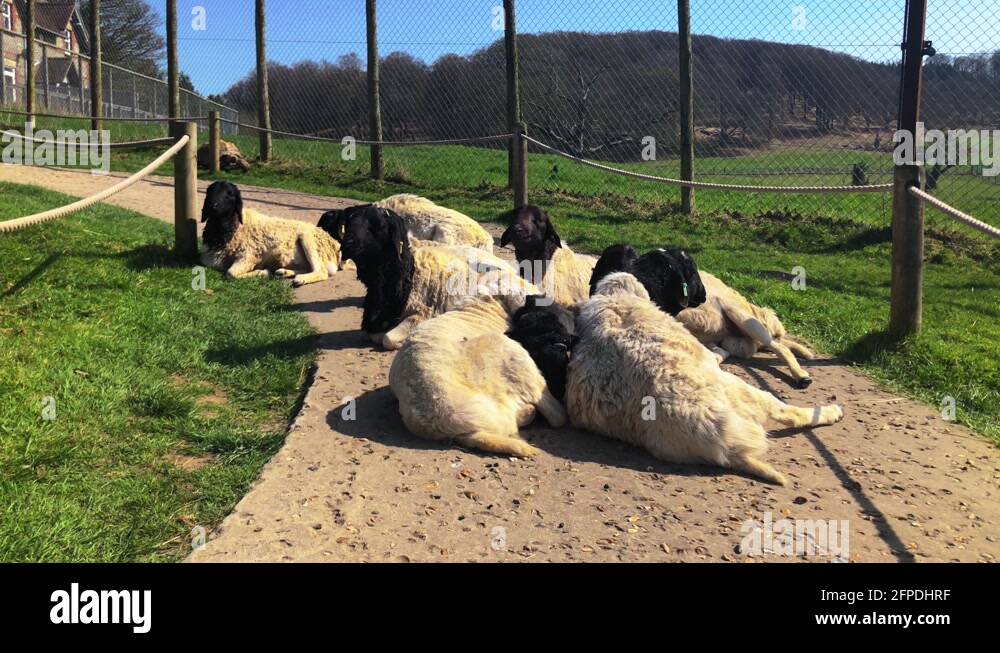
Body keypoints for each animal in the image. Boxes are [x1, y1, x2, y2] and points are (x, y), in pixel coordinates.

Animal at [200, 181, 342, 286]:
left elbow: (230, 273)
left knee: (322, 271)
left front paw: (263, 272)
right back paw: (284, 272)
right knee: (309, 267)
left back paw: (300, 279)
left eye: (230, 194)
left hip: (309, 239)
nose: (214, 206)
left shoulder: (249, 255)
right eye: (211, 191)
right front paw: (266, 272)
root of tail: (335, 244)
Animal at [337, 204, 538, 350]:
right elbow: (370, 333)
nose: (347, 245)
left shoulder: (421, 313)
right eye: (350, 223)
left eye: (378, 226)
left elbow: (387, 339)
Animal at [566, 272, 844, 486]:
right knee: (789, 411)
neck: (612, 300)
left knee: (775, 345)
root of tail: (725, 444)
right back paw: (829, 408)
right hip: (744, 387)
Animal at [590, 245, 815, 387]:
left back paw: (801, 375)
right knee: (735, 349)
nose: (704, 295)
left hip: (742, 317)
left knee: (780, 346)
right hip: (735, 342)